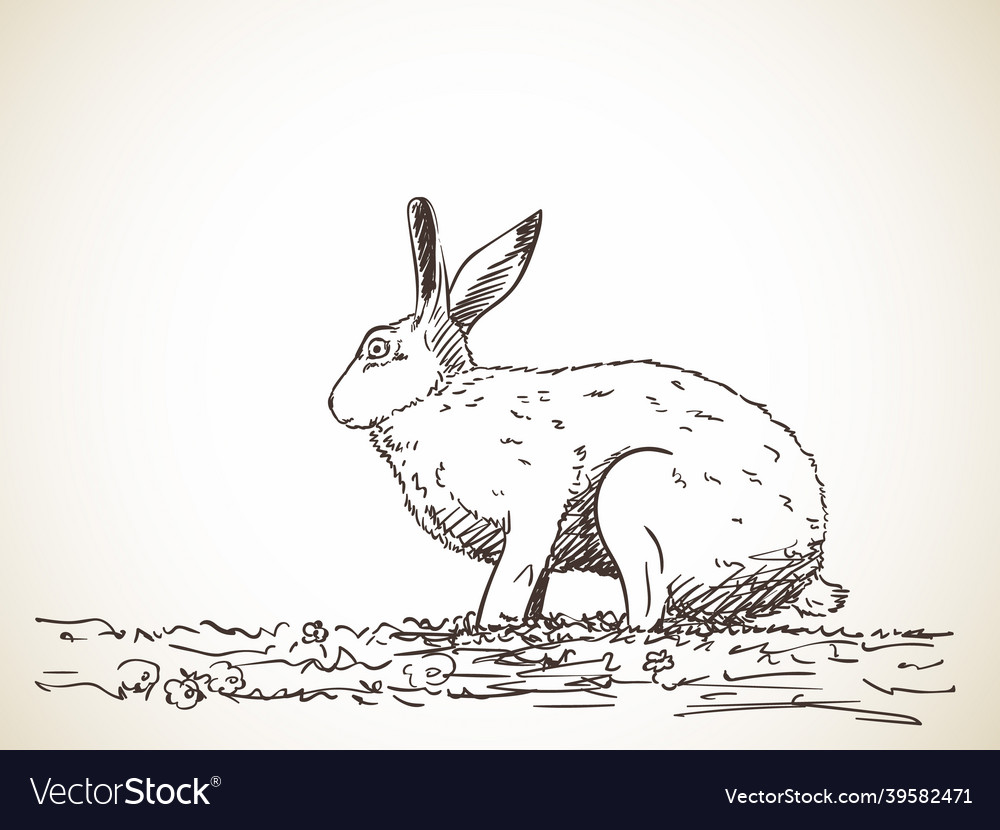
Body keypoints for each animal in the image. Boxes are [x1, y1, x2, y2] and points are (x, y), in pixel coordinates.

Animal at [329, 197, 846, 631]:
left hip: (633, 497)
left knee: (649, 605)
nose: (334, 405)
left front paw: (488, 630)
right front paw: (526, 629)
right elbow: (534, 587)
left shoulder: (530, 515)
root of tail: (804, 561)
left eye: (377, 348)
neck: (441, 396)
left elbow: (509, 583)